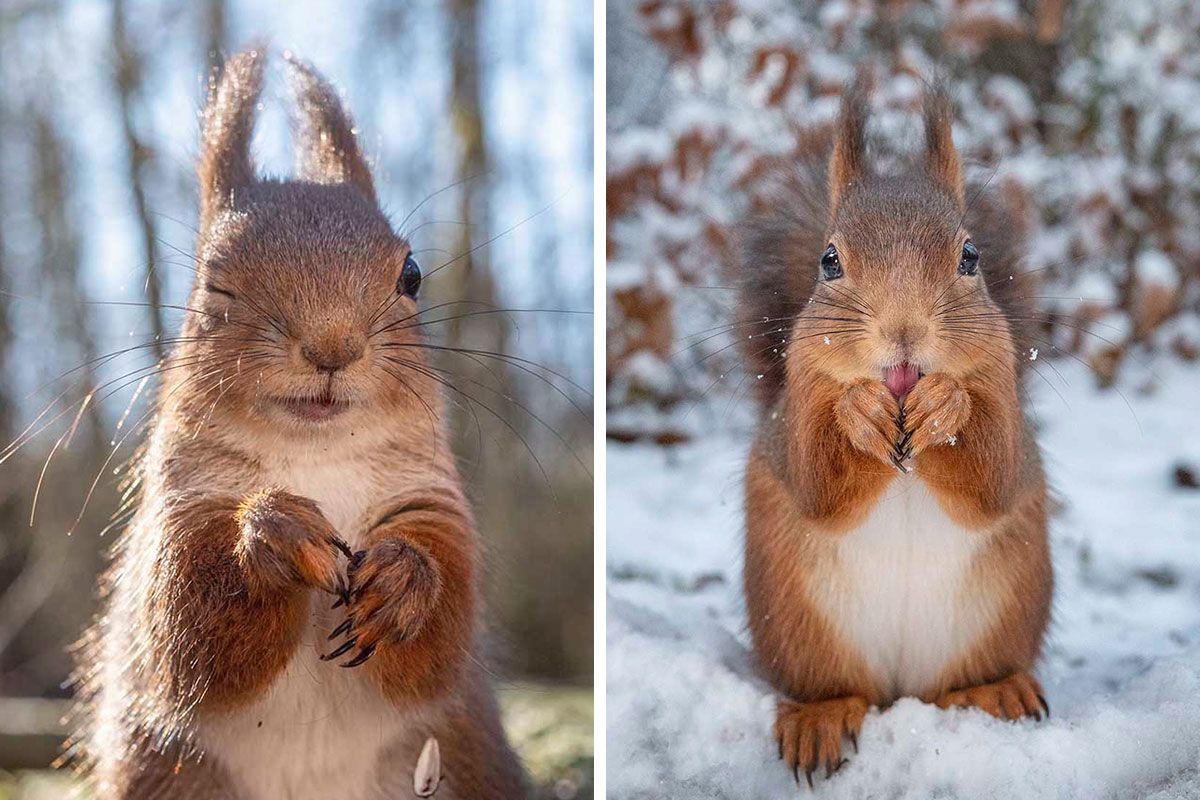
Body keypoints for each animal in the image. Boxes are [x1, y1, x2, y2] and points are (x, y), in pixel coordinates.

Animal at [70, 48, 525, 799]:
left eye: (412, 275)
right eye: (214, 282)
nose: (331, 348)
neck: (316, 455)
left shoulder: (434, 502)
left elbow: (441, 634)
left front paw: (403, 580)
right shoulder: (179, 512)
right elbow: (186, 630)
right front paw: (276, 533)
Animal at [736, 81, 1052, 786]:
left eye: (971, 257)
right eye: (828, 262)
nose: (904, 332)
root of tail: (902, 690)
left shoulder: (1005, 402)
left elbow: (993, 474)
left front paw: (946, 404)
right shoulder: (793, 413)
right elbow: (817, 481)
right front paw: (859, 411)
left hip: (1003, 615)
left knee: (963, 683)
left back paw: (996, 689)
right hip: (798, 626)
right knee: (833, 687)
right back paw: (819, 717)